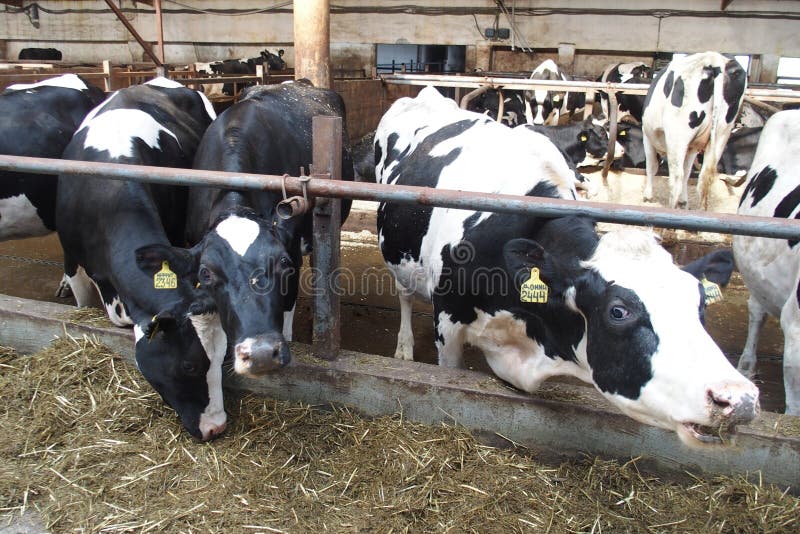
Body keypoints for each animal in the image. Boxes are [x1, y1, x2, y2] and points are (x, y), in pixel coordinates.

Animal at [375, 86, 759, 447]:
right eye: (618, 311)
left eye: (700, 304)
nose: (738, 398)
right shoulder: (448, 324)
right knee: (405, 296)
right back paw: (404, 346)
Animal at [642, 52, 747, 209]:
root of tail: (714, 59)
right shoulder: (693, 147)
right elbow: (687, 172)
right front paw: (683, 201)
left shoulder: (646, 136)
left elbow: (651, 166)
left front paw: (648, 196)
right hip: (722, 133)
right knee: (704, 178)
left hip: (677, 135)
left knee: (676, 178)